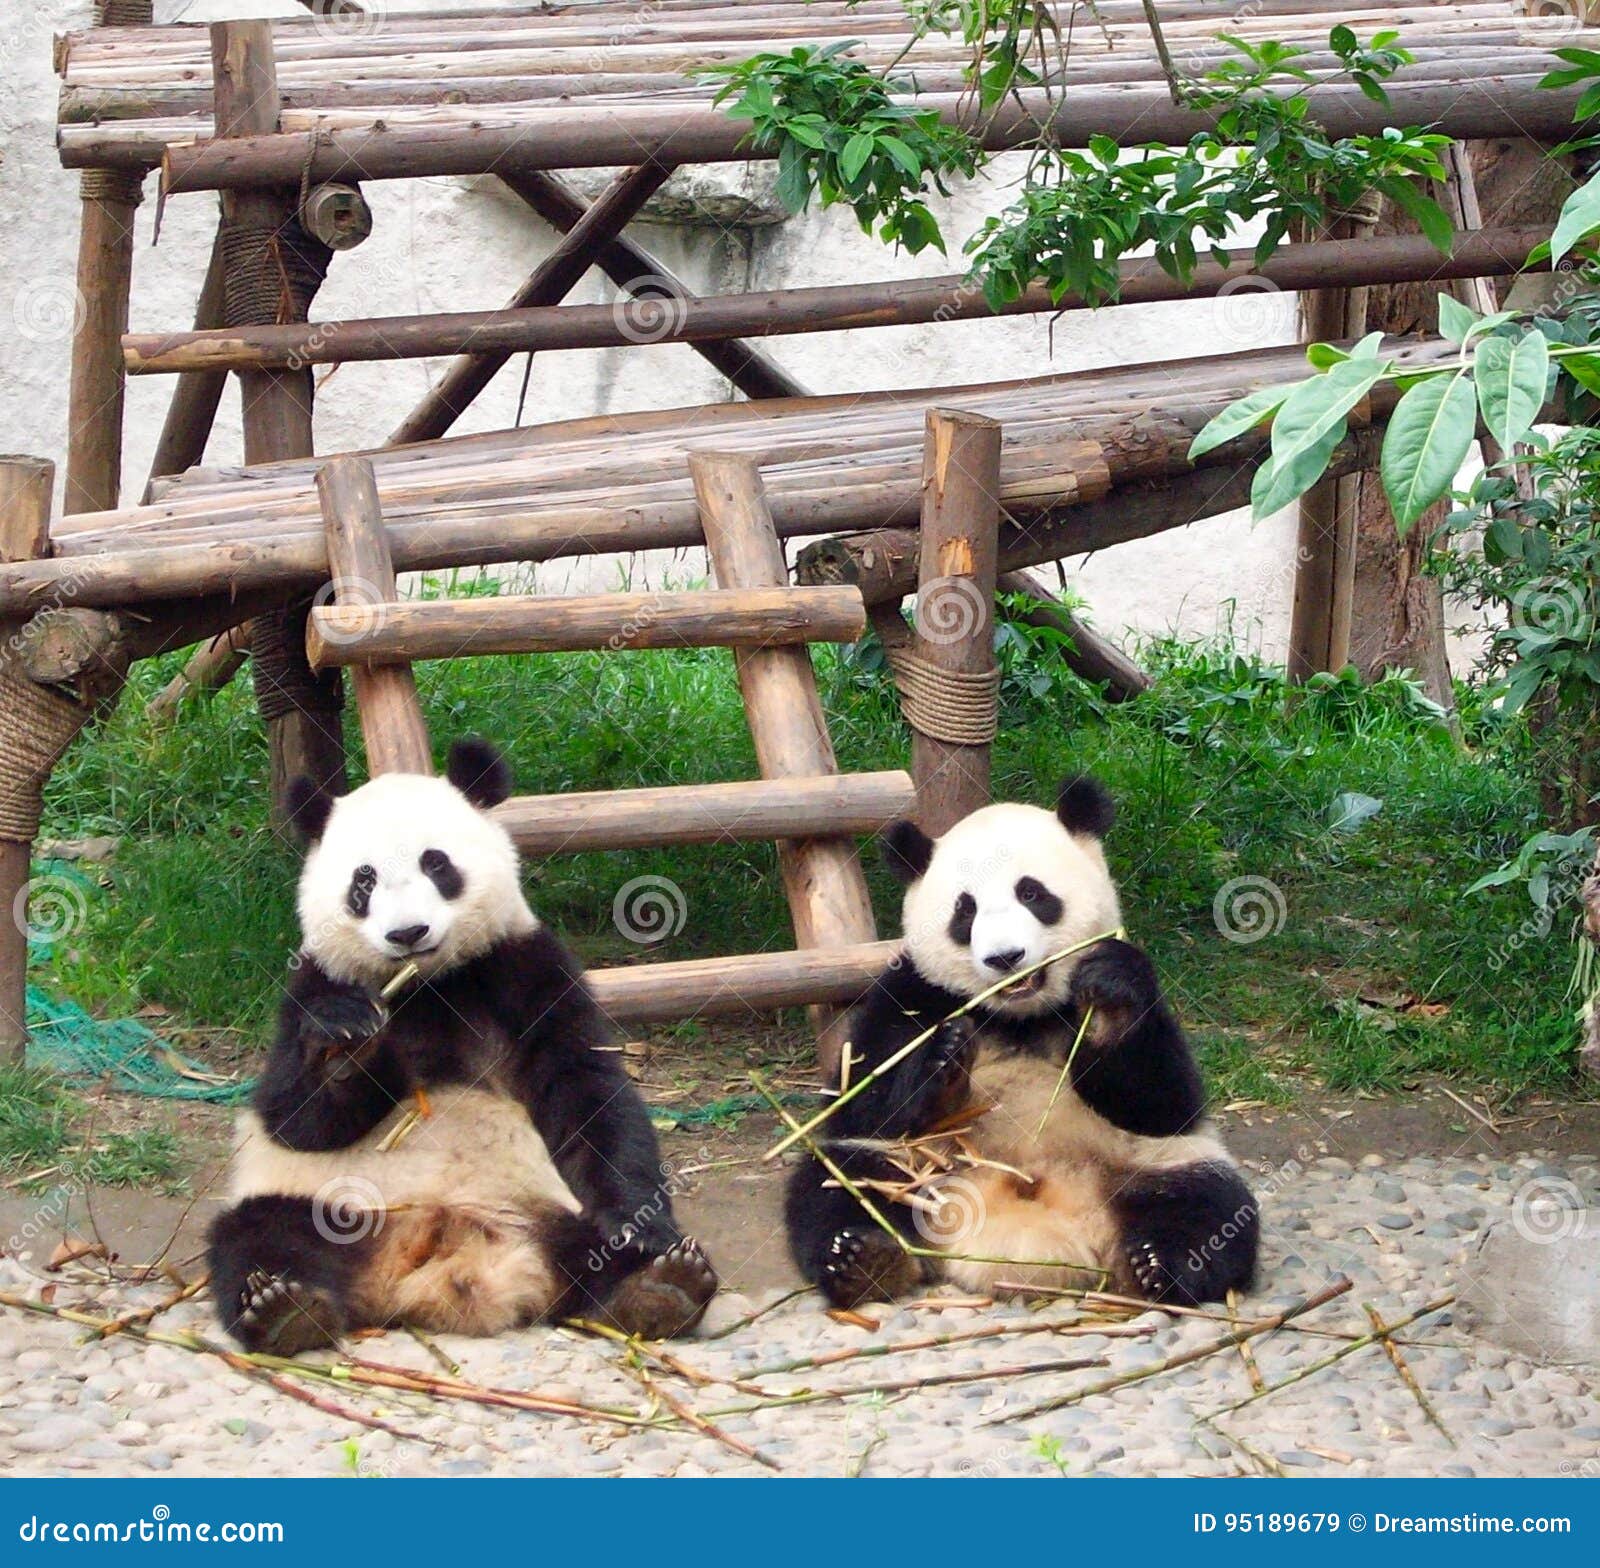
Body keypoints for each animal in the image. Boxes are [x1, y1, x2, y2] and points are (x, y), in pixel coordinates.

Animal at [207, 737, 717, 1354]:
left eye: (436, 863)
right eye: (363, 882)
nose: (407, 934)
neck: (428, 985)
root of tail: (427, 1274)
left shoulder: (524, 967)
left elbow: (589, 1091)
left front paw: (636, 1227)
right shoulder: (310, 982)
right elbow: (291, 1117)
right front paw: (346, 1044)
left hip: (542, 1208)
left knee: (592, 1254)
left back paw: (660, 1289)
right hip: (324, 1201)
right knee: (256, 1236)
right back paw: (286, 1309)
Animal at [785, 777, 1258, 1309]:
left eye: (1031, 893)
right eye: (964, 910)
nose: (1004, 957)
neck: (1020, 1016)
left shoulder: (1144, 1004)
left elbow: (1162, 1100)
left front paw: (1109, 1001)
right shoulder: (911, 992)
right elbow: (863, 1099)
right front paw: (945, 1061)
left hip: (1152, 1162)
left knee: (1209, 1204)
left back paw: (1155, 1267)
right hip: (916, 1164)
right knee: (839, 1183)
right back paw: (863, 1259)